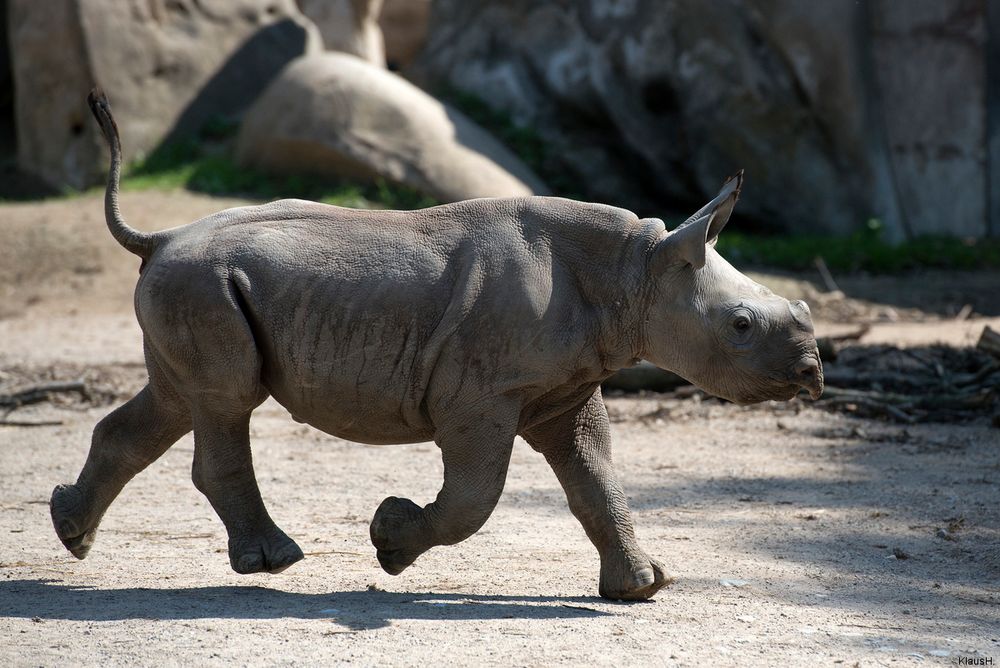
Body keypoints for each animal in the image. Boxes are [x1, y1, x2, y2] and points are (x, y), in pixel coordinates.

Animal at [51, 90, 822, 601]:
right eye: (740, 326)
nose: (813, 372)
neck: (637, 269)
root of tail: (156, 238)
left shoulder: (563, 389)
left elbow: (595, 477)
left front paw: (641, 586)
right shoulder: (481, 392)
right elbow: (477, 495)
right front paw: (390, 543)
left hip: (192, 284)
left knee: (178, 399)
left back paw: (71, 533)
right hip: (203, 285)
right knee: (225, 398)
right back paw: (274, 563)